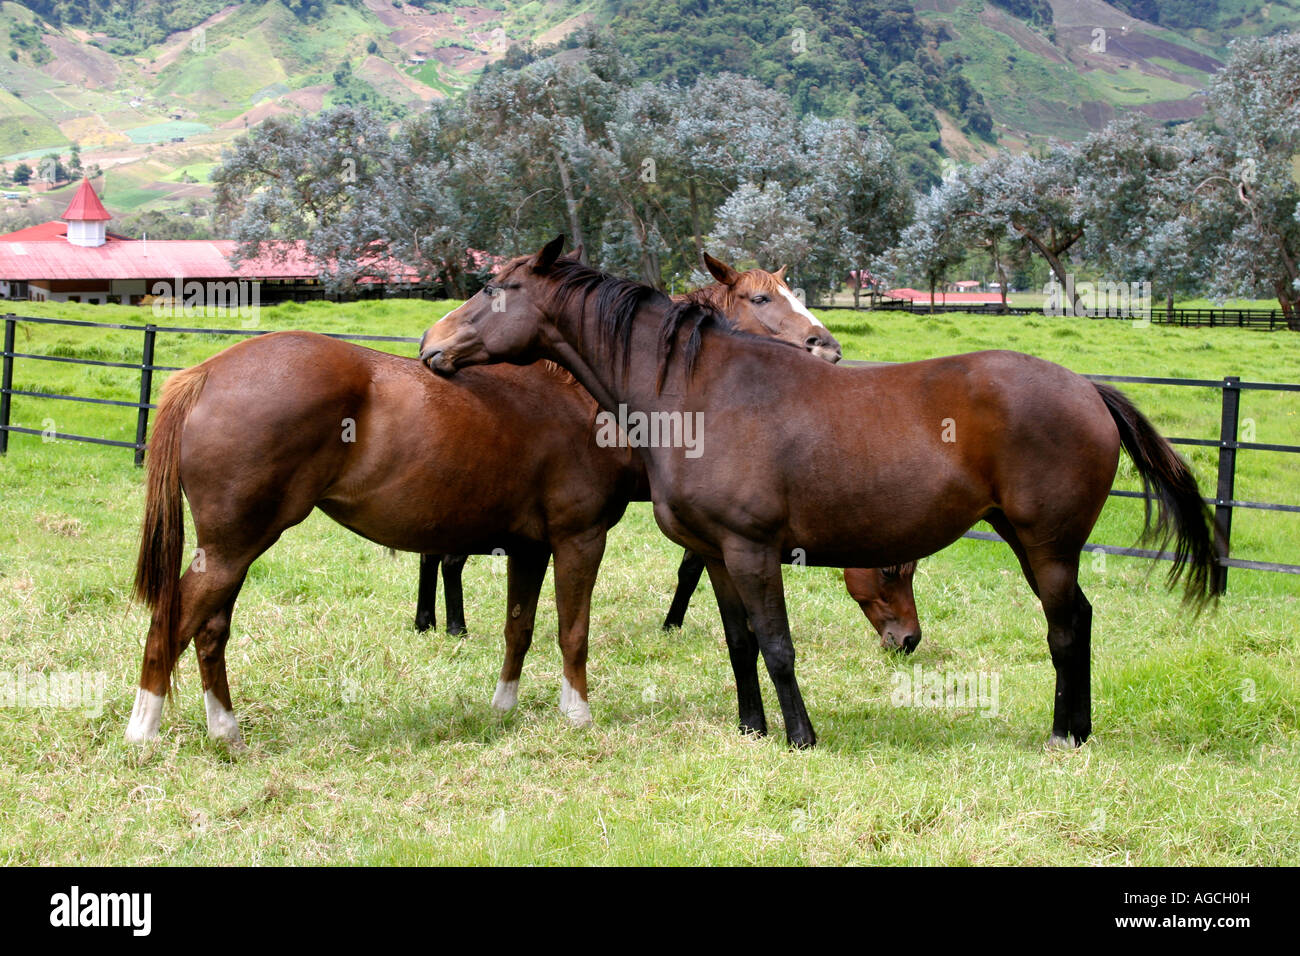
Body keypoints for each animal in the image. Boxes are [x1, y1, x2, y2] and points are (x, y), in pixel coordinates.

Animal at [414, 253, 842, 636]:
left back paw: (426, 621)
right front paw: (673, 623)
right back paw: (454, 625)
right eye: (760, 299)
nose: (829, 348)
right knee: (449, 557)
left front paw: (673, 622)